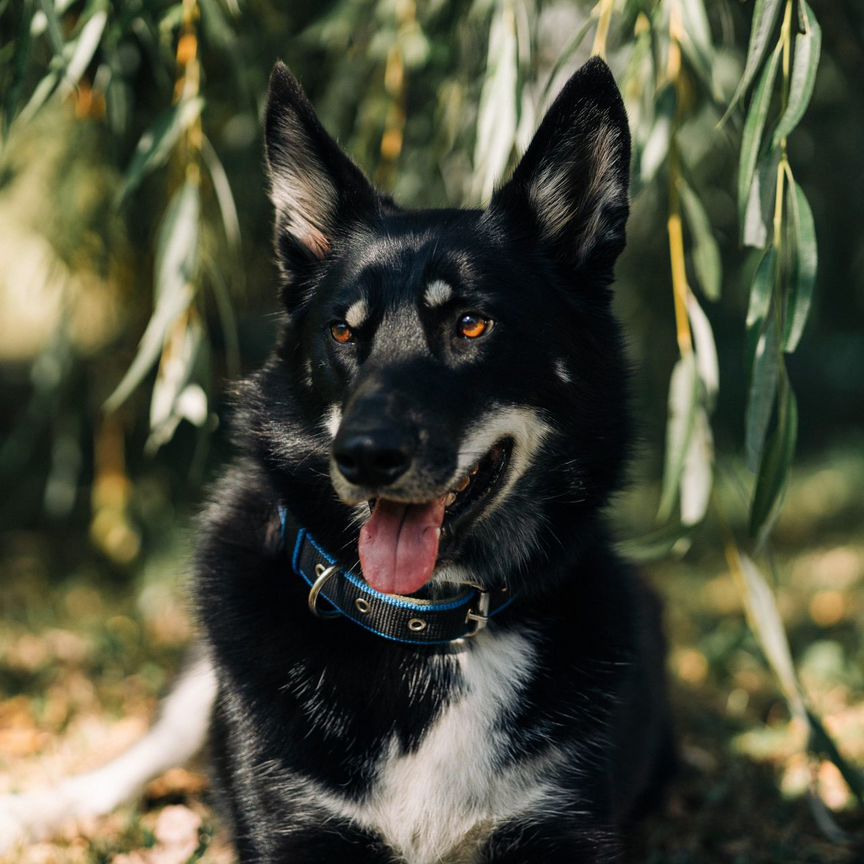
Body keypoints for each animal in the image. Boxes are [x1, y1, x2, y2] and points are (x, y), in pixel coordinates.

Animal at [0, 57, 676, 860]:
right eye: (344, 332)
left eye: (471, 323)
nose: (365, 458)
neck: (426, 633)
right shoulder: (298, 824)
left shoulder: (562, 822)